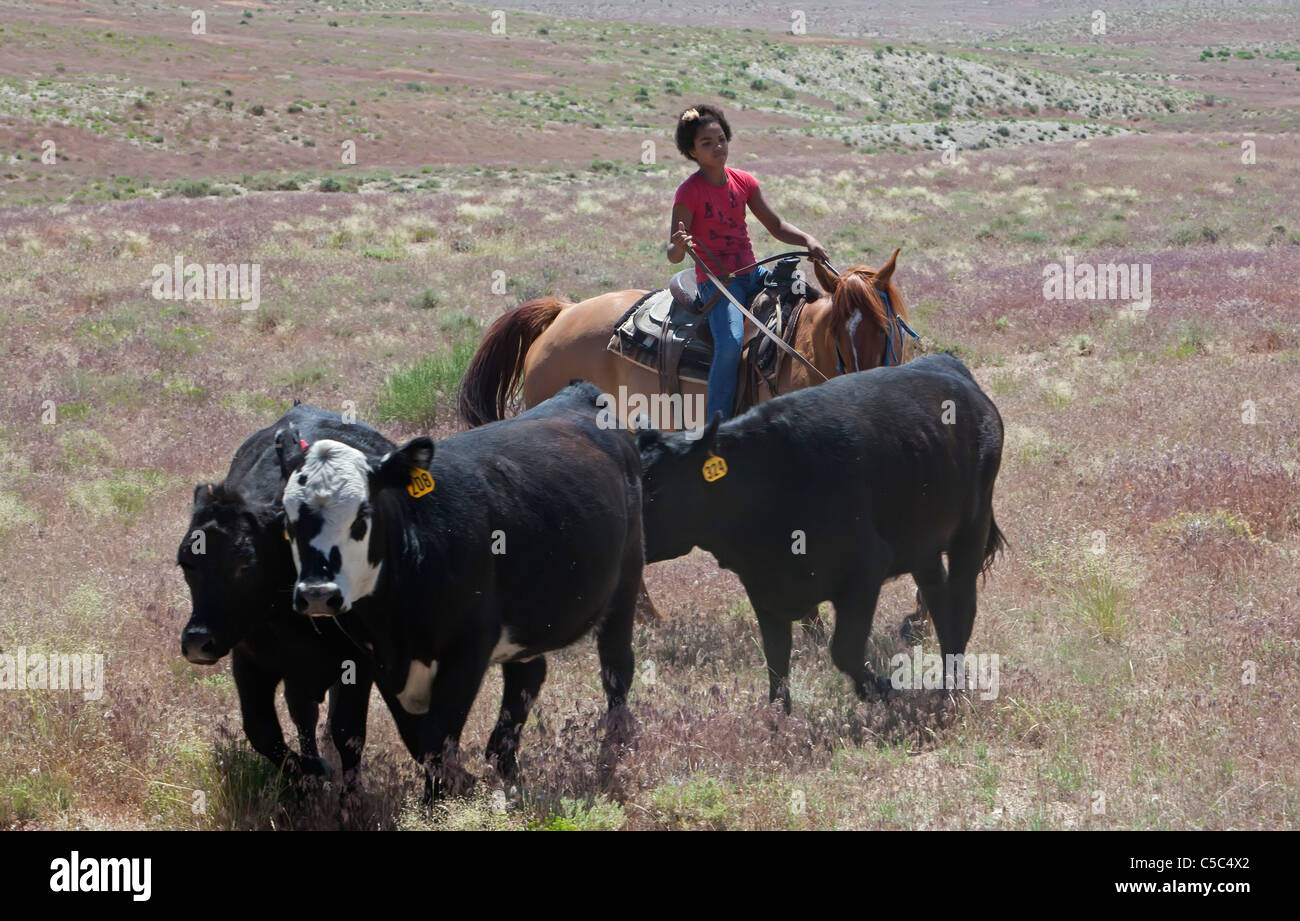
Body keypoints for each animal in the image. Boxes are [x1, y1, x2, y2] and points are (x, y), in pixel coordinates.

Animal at [178, 404, 427, 795]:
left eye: (245, 564)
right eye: (186, 562)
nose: (197, 641)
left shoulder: (358, 662)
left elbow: (347, 733)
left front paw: (348, 794)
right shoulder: (249, 659)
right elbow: (263, 731)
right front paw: (307, 774)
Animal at [275, 381, 644, 798]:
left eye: (362, 515)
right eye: (288, 520)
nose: (317, 593)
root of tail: (578, 392)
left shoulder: (466, 652)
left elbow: (437, 740)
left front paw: (440, 800)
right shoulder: (374, 659)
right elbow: (410, 740)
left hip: (625, 585)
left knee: (616, 669)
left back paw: (612, 749)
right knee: (527, 677)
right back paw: (506, 764)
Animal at [636, 353, 1006, 712]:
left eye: (654, 490)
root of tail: (950, 368)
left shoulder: (864, 572)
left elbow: (843, 649)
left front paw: (884, 689)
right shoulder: (763, 588)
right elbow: (777, 661)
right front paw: (779, 717)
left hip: (971, 529)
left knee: (961, 604)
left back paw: (951, 692)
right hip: (923, 544)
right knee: (939, 601)